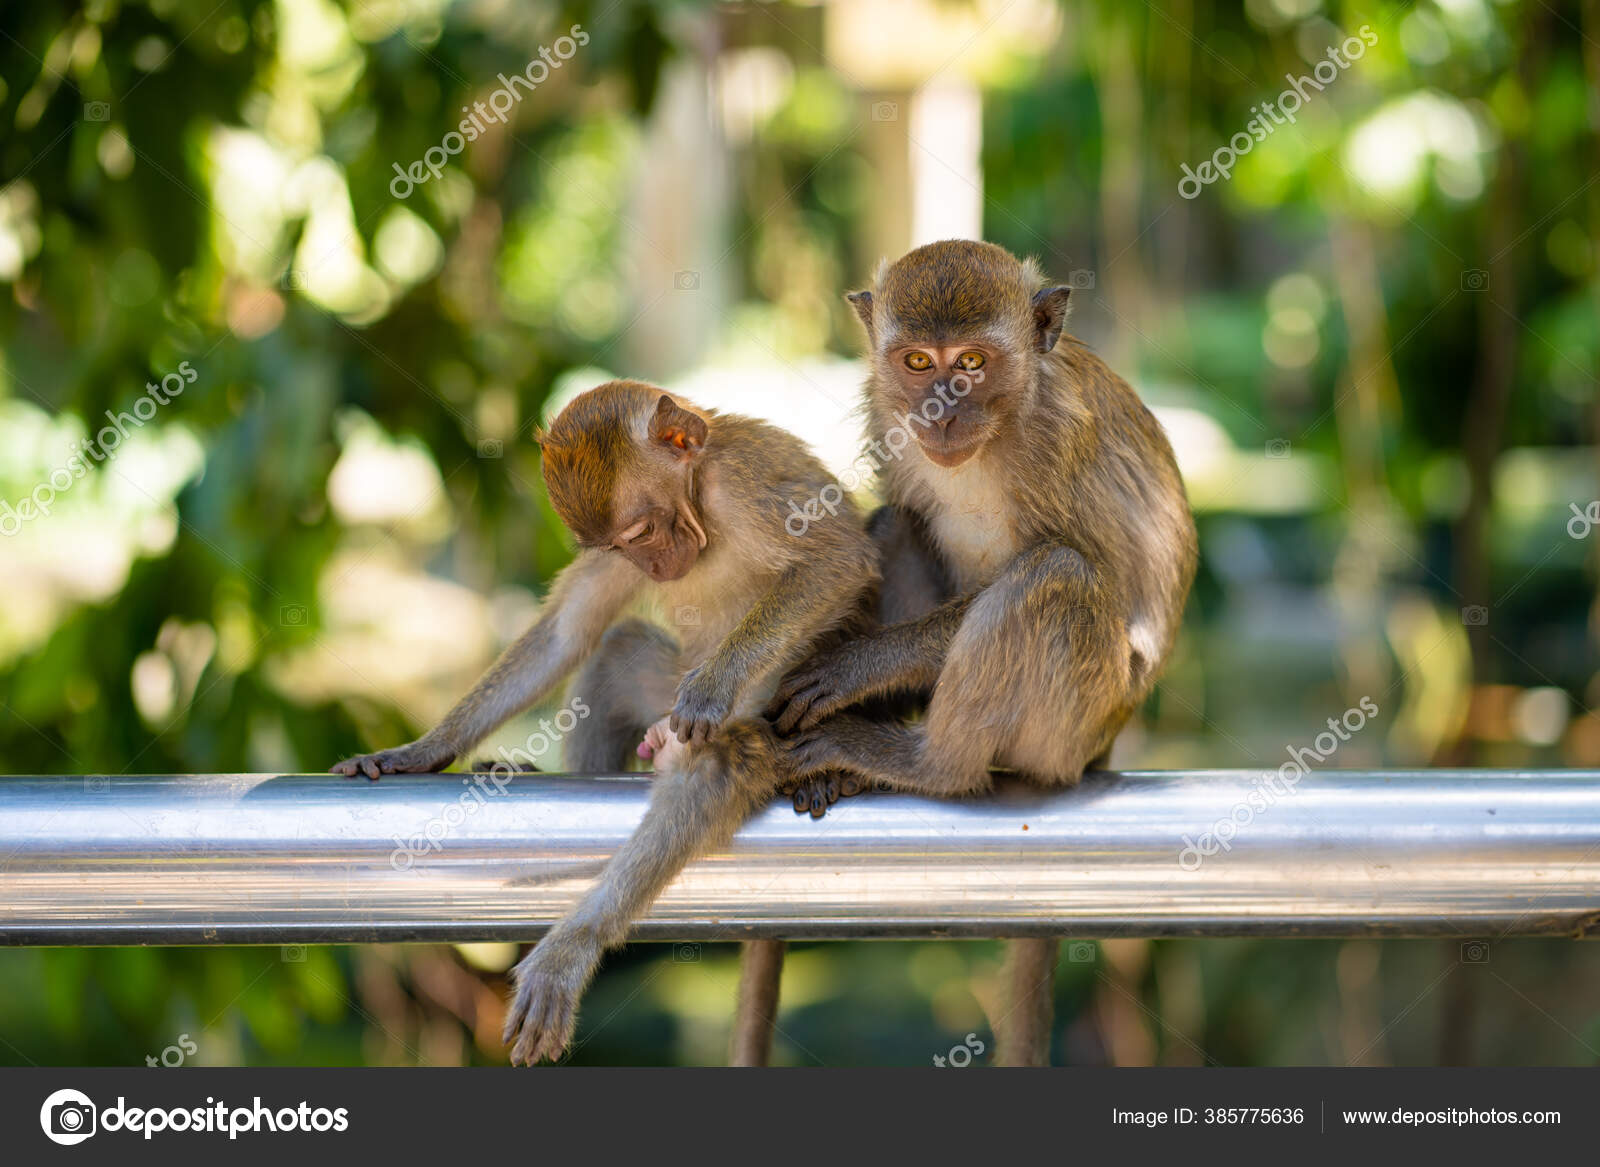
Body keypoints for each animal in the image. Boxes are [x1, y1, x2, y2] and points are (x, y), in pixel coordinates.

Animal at [332, 380, 878, 1063]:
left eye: (642, 529)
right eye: (620, 544)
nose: (655, 567)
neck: (702, 496)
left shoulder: (746, 482)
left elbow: (837, 561)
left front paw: (716, 688)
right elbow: (566, 636)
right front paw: (424, 750)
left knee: (715, 766)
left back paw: (576, 943)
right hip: (658, 691)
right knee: (616, 654)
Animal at [768, 240, 1198, 1065]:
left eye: (971, 361)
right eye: (917, 362)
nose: (941, 408)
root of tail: (1108, 739)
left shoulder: (1060, 447)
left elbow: (1094, 567)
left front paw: (862, 664)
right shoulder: (888, 418)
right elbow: (905, 517)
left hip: (1075, 721)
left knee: (1056, 575)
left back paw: (919, 762)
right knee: (901, 524)